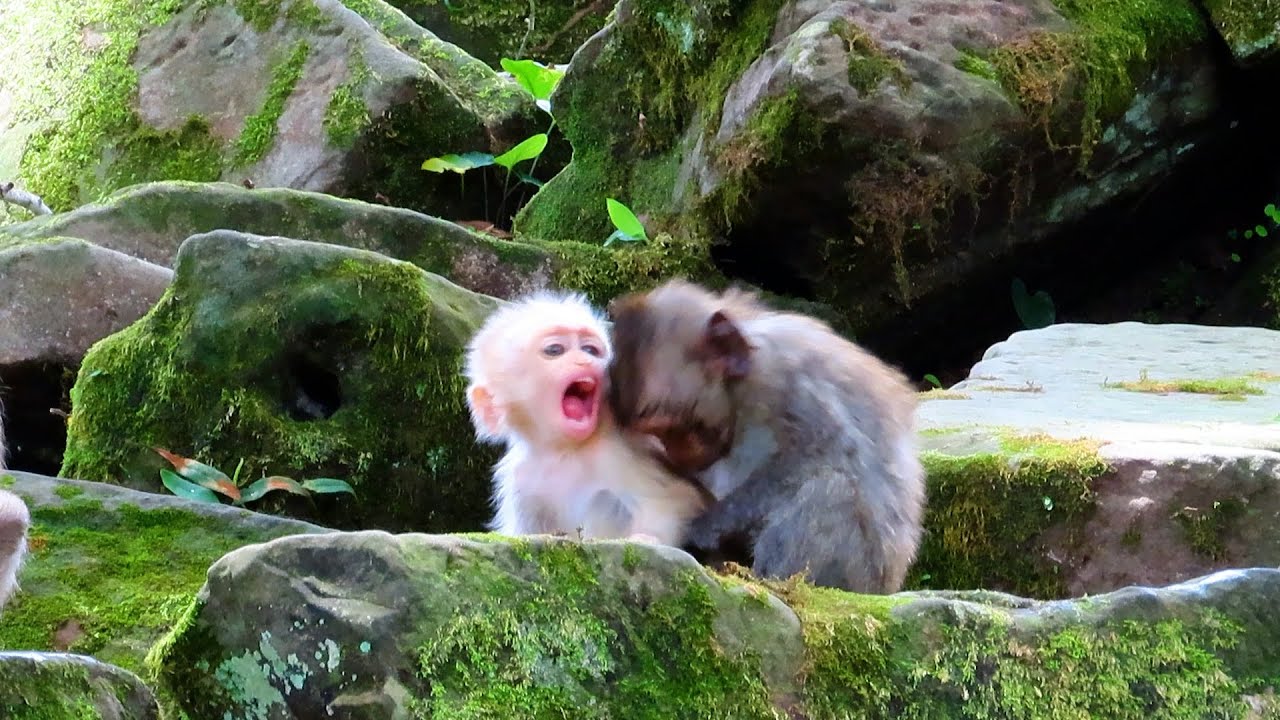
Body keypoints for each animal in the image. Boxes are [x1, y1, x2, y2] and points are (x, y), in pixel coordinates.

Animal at [606, 279, 926, 594]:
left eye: (672, 427)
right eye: (657, 433)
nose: (678, 452)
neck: (740, 390)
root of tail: (886, 587)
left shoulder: (788, 378)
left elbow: (816, 453)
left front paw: (709, 523)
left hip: (858, 571)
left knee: (830, 487)